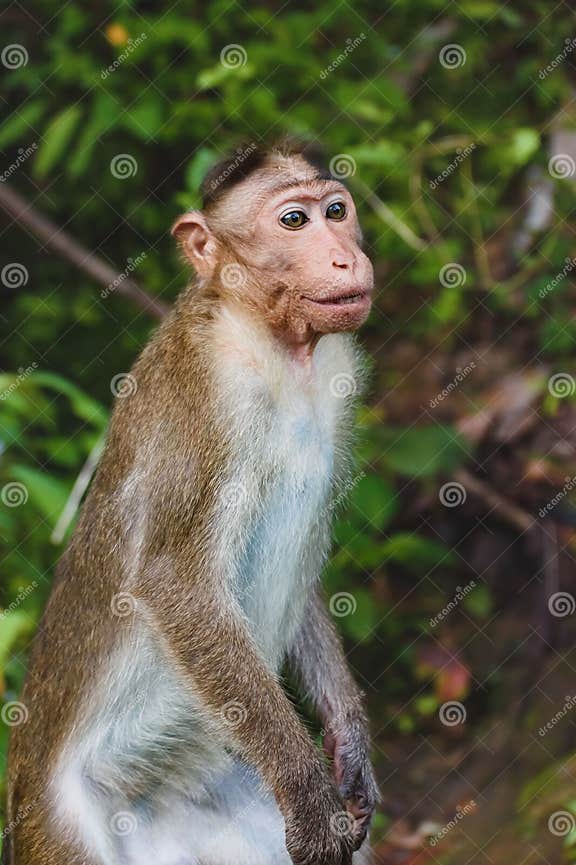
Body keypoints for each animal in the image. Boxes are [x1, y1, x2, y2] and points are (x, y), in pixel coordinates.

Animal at [3, 138, 378, 865]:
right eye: (294, 220)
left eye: (336, 211)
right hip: (59, 830)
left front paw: (349, 740)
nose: (345, 256)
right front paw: (314, 799)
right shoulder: (208, 394)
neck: (269, 339)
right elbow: (174, 581)